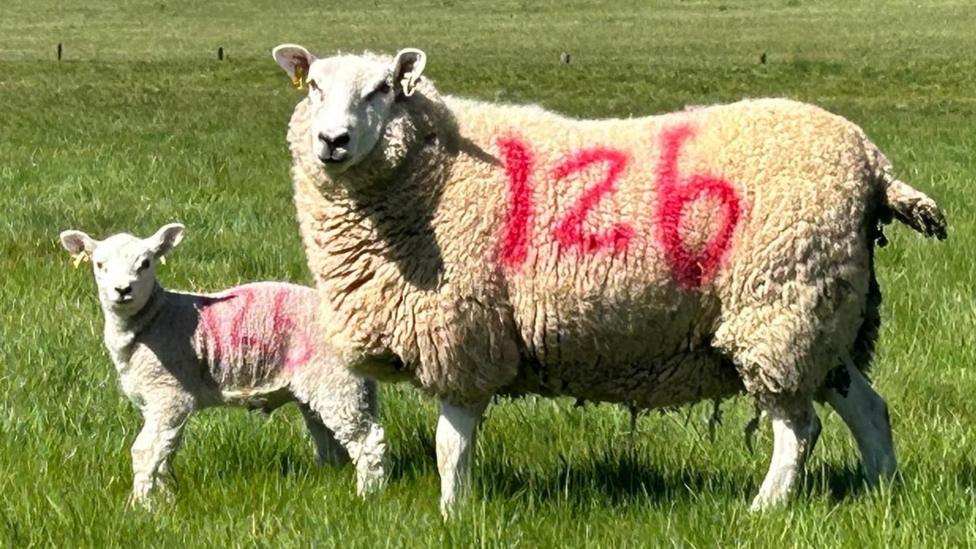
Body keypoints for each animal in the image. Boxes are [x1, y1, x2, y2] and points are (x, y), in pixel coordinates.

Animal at [59, 223, 386, 507]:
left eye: (146, 263)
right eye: (99, 264)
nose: (122, 290)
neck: (154, 320)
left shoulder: (169, 392)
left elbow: (145, 450)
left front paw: (141, 505)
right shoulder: (159, 401)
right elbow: (165, 450)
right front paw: (166, 497)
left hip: (334, 379)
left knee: (367, 439)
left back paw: (368, 494)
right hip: (342, 381)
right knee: (330, 437)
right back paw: (329, 482)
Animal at [270, 44, 947, 515]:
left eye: (383, 89)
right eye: (316, 86)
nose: (332, 141)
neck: (433, 176)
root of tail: (871, 162)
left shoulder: (463, 332)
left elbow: (449, 445)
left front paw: (450, 514)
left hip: (780, 306)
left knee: (798, 429)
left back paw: (763, 510)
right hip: (827, 313)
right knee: (868, 408)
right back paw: (882, 490)